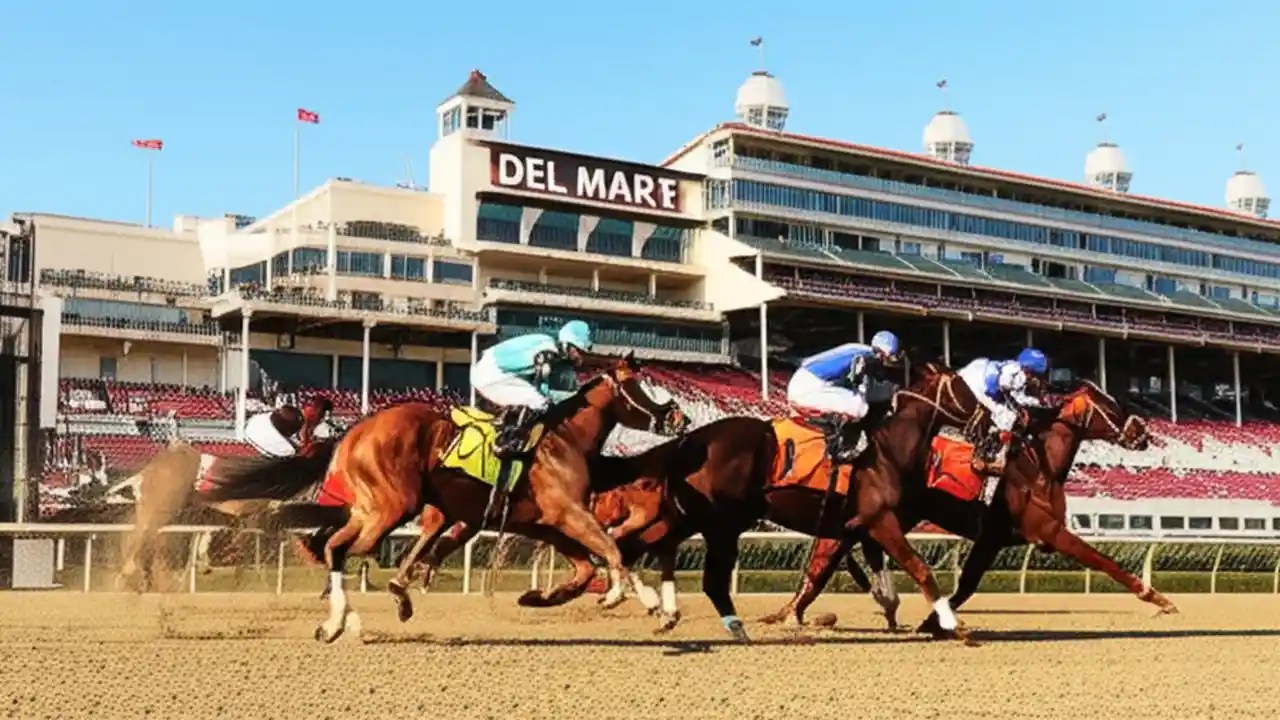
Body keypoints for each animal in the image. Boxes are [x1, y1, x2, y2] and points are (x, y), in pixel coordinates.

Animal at [303, 352, 688, 642]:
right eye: (640, 386)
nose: (677, 416)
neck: (567, 437)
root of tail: (355, 432)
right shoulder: (569, 513)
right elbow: (611, 548)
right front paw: (634, 598)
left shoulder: (546, 525)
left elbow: (585, 568)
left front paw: (538, 597)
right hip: (393, 508)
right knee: (341, 550)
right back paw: (343, 621)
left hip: (373, 510)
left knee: (333, 546)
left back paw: (345, 618)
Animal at [762, 378, 1179, 635]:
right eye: (1112, 406)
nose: (1141, 433)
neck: (1036, 469)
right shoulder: (1048, 531)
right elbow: (1104, 562)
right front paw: (1159, 599)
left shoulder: (991, 538)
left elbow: (967, 585)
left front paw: (932, 622)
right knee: (827, 558)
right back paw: (796, 611)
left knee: (828, 557)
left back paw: (798, 610)